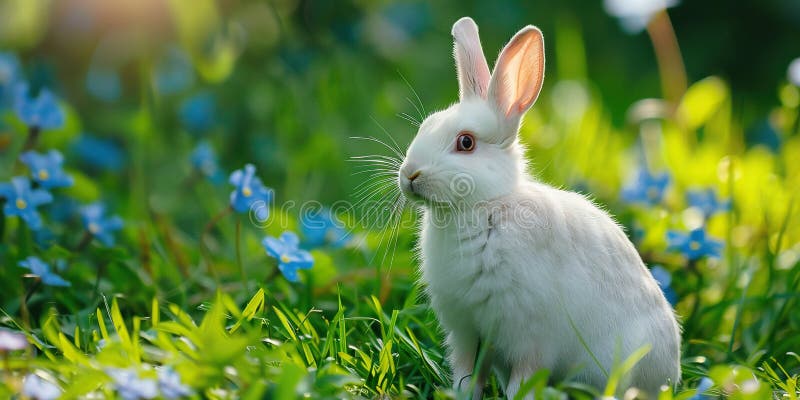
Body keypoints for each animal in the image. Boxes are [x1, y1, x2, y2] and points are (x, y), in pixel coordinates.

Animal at [396, 17, 681, 399]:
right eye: (426, 125)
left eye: (465, 142)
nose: (409, 174)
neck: (485, 206)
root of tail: (671, 372)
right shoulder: (468, 332)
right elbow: (468, 376)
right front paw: (460, 393)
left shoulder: (529, 338)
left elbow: (524, 380)